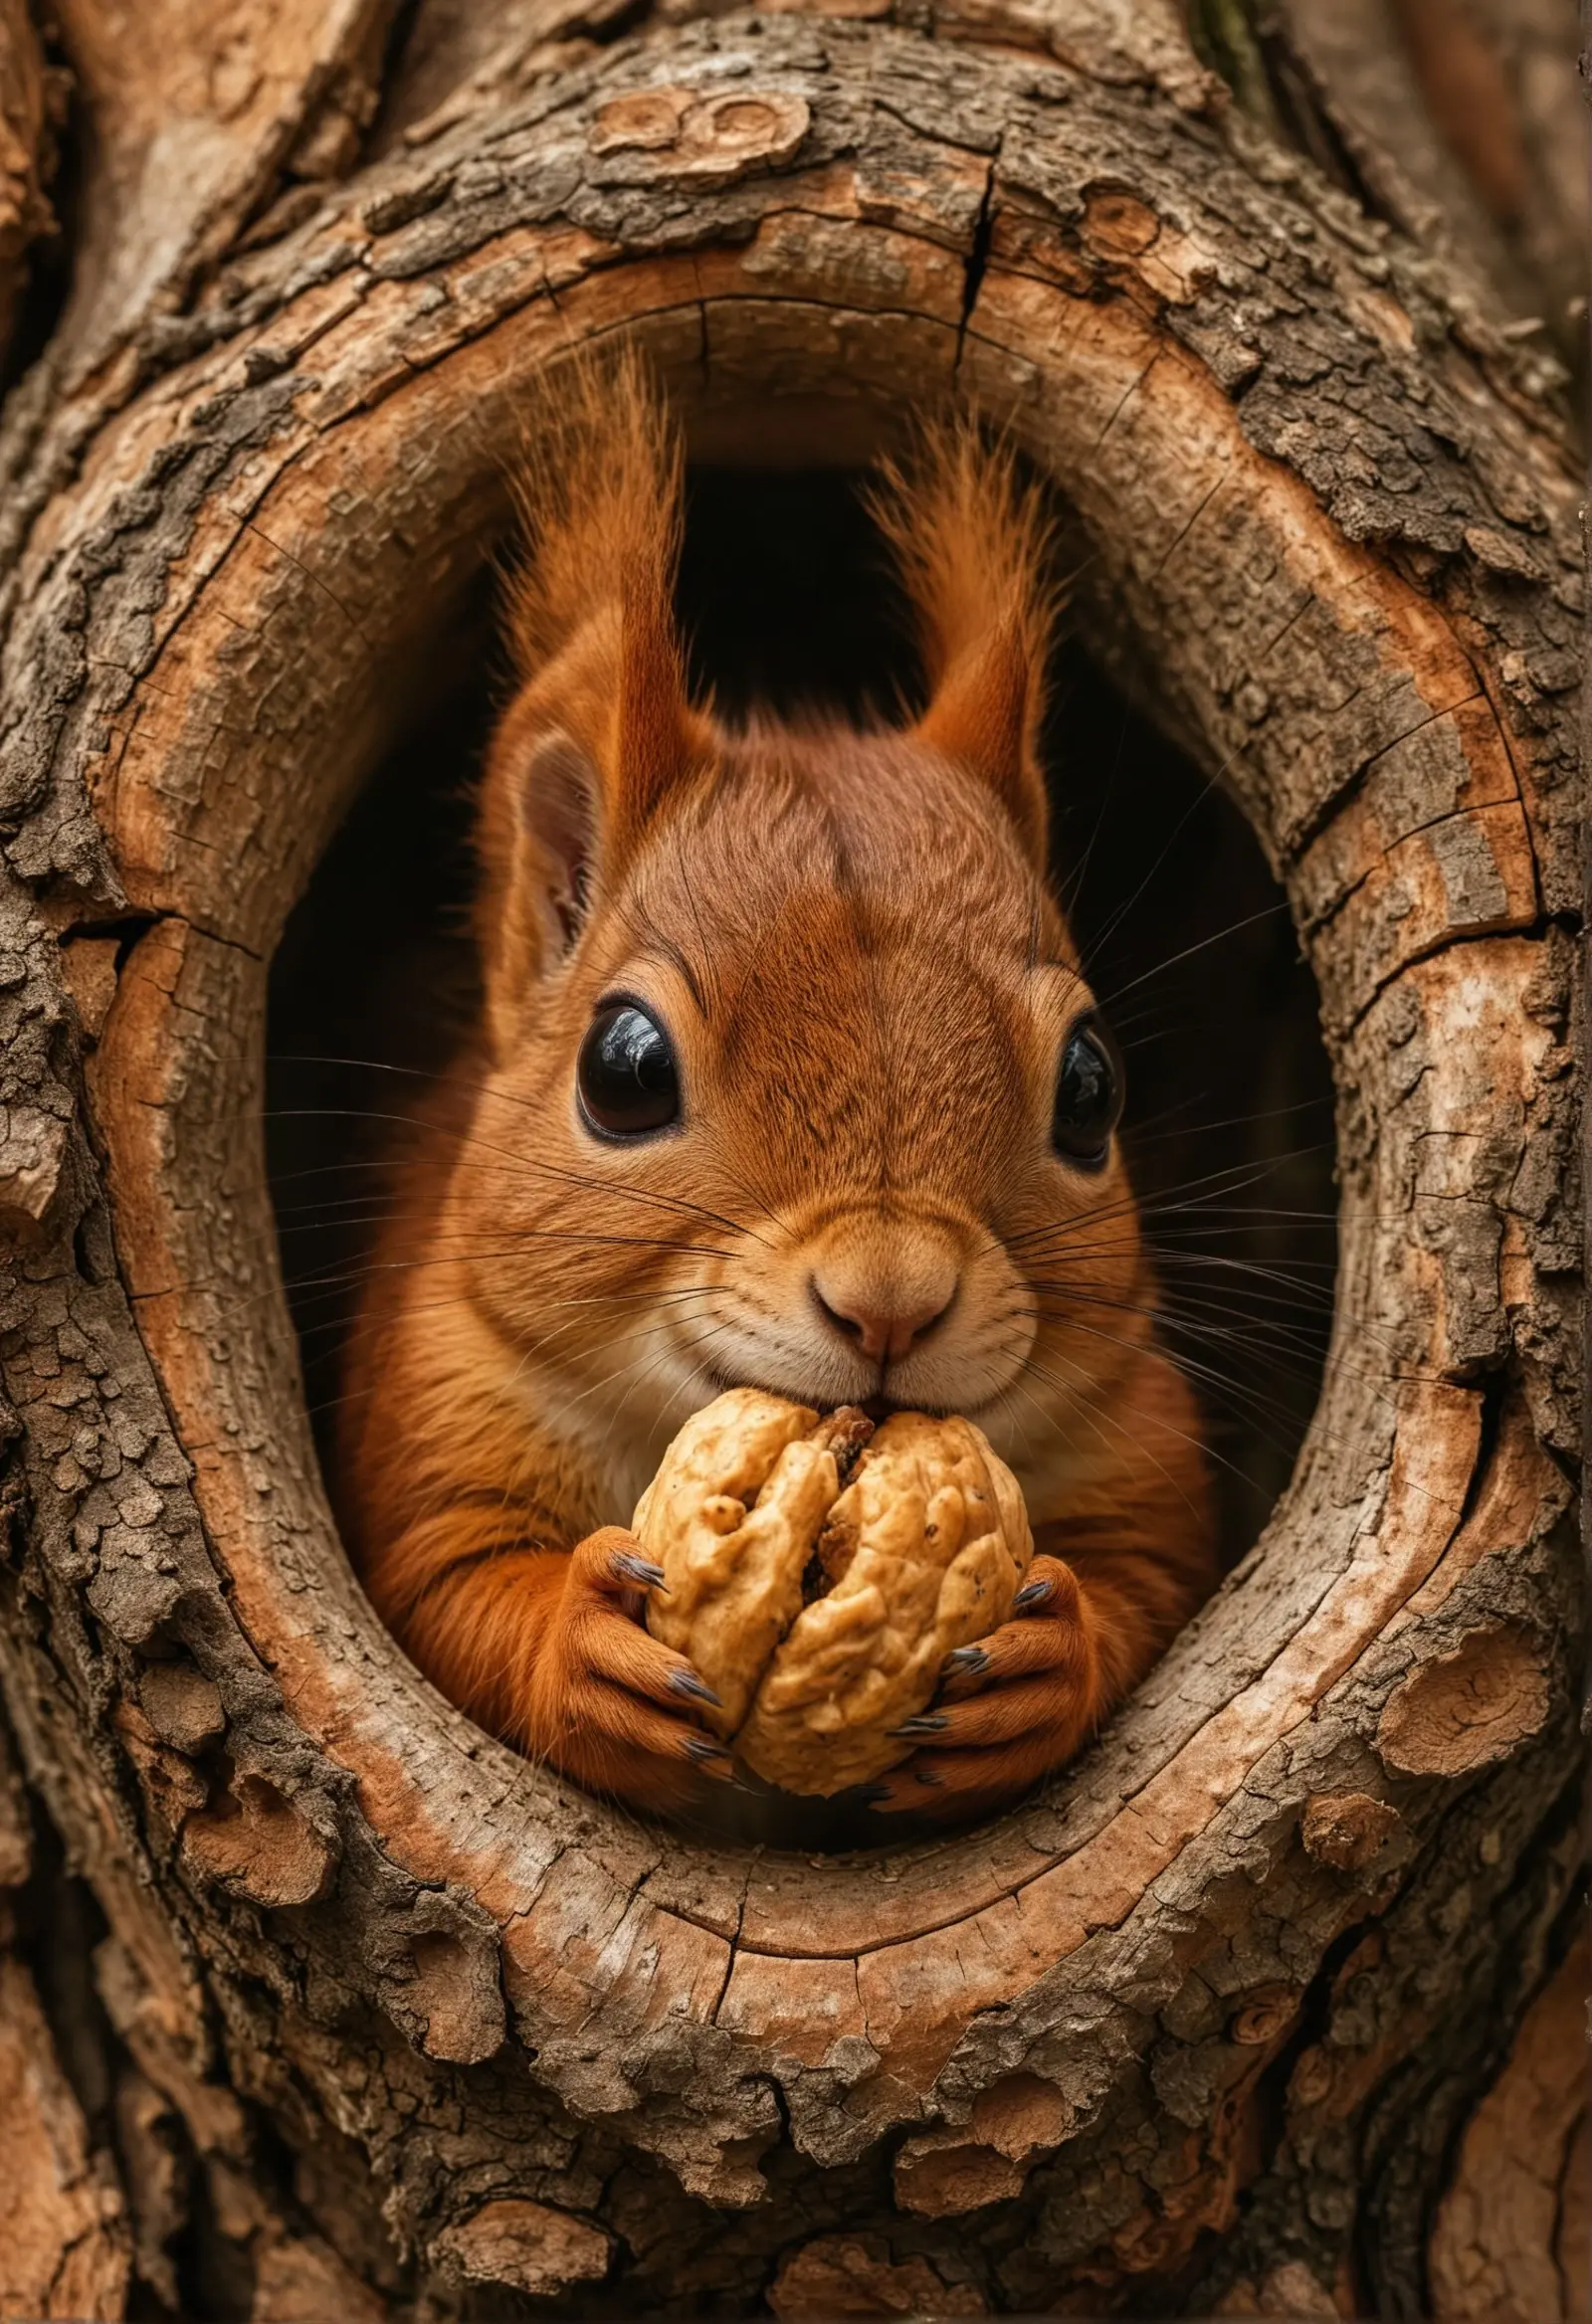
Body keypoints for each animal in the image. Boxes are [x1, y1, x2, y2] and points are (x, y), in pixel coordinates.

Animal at [332, 357, 1208, 1813]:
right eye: (623, 1070)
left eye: (1092, 1085)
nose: (891, 1303)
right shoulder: (438, 1398)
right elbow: (447, 1582)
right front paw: (582, 1645)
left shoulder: (1135, 1437)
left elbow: (1150, 1577)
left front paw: (1048, 1663)